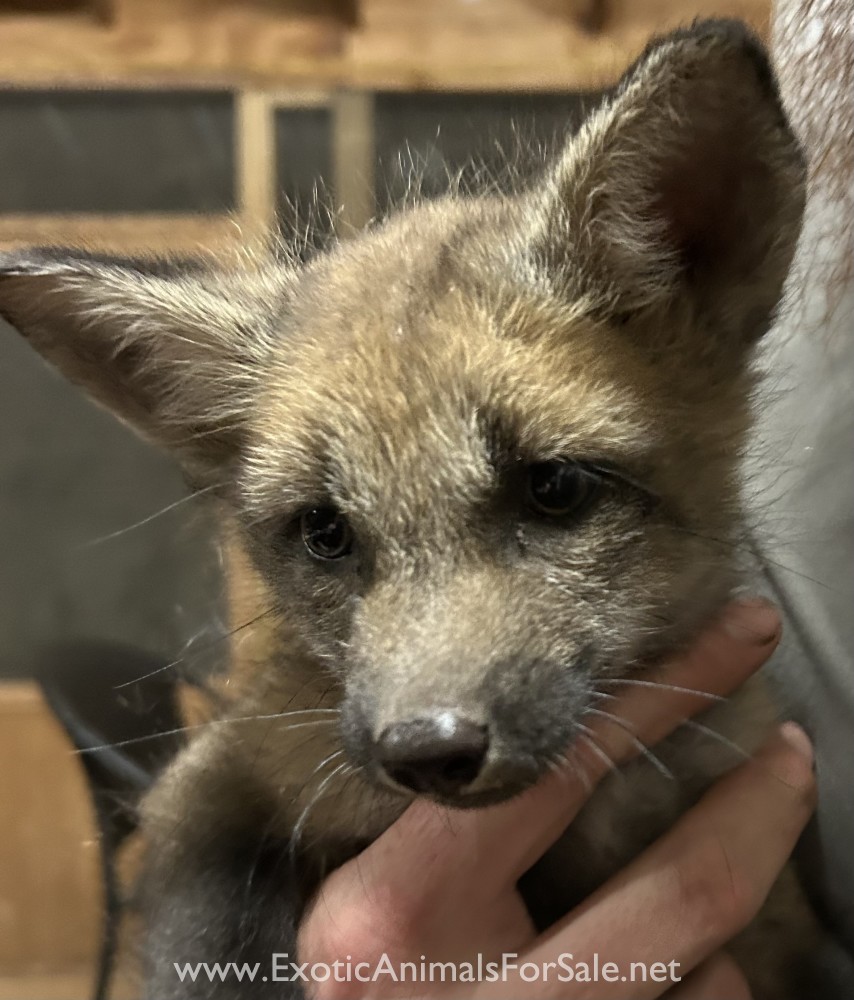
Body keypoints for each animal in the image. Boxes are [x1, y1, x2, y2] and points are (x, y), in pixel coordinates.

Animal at [0, 18, 844, 1000]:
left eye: (555, 489)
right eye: (325, 532)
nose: (426, 749)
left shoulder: (776, 924)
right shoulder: (223, 782)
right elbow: (212, 949)